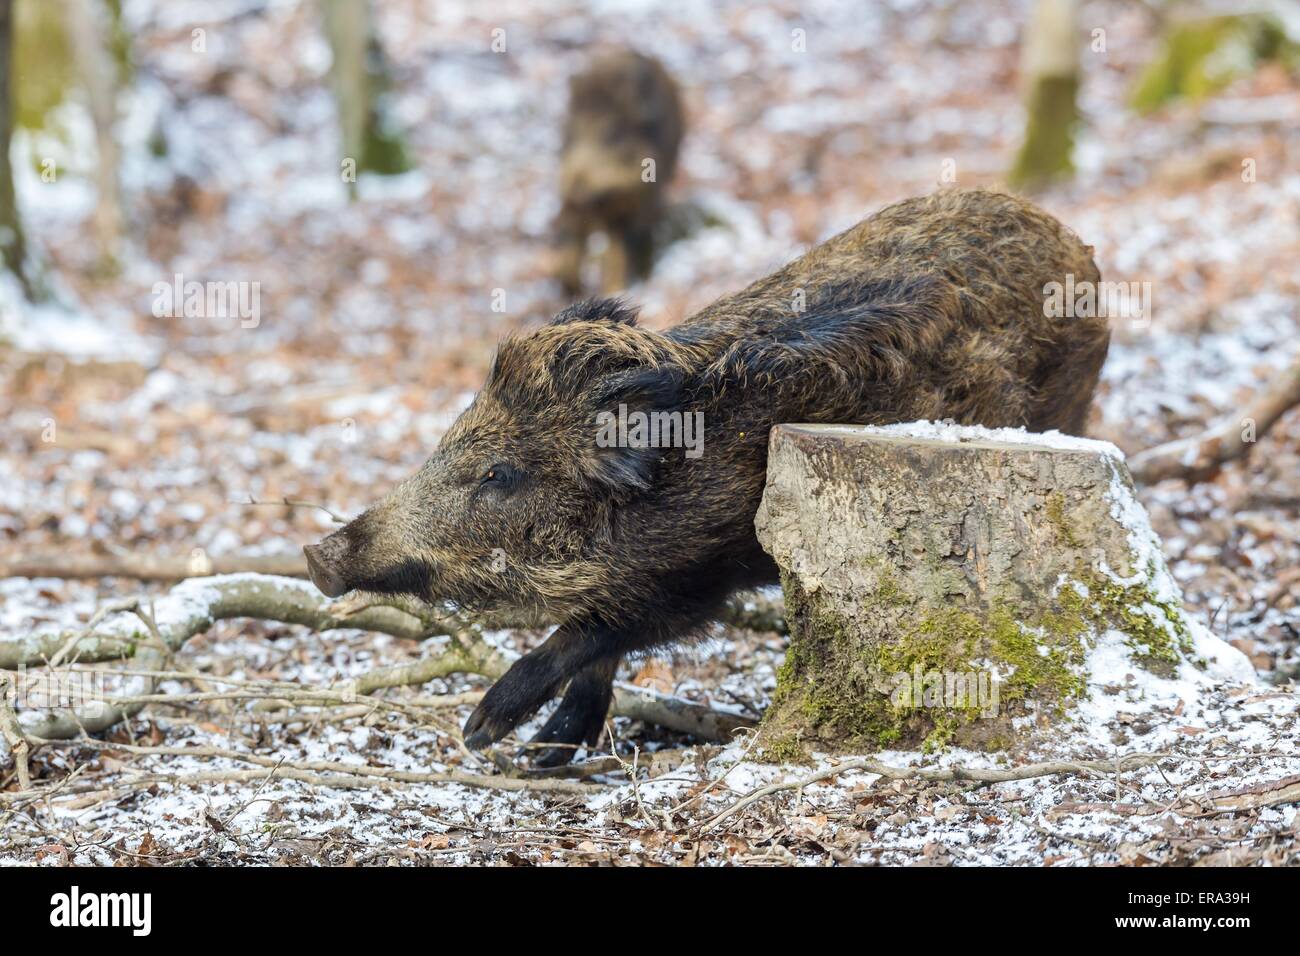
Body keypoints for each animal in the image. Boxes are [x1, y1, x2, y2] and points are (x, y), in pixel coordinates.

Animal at [305, 188, 1110, 766]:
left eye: (499, 475)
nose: (317, 555)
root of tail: (1071, 242)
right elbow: (598, 644)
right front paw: (546, 756)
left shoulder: (698, 573)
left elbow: (591, 632)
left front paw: (484, 732)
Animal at [551, 49, 683, 295]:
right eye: (570, 134)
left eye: (614, 134)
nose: (576, 191)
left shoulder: (635, 210)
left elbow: (618, 252)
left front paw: (614, 290)